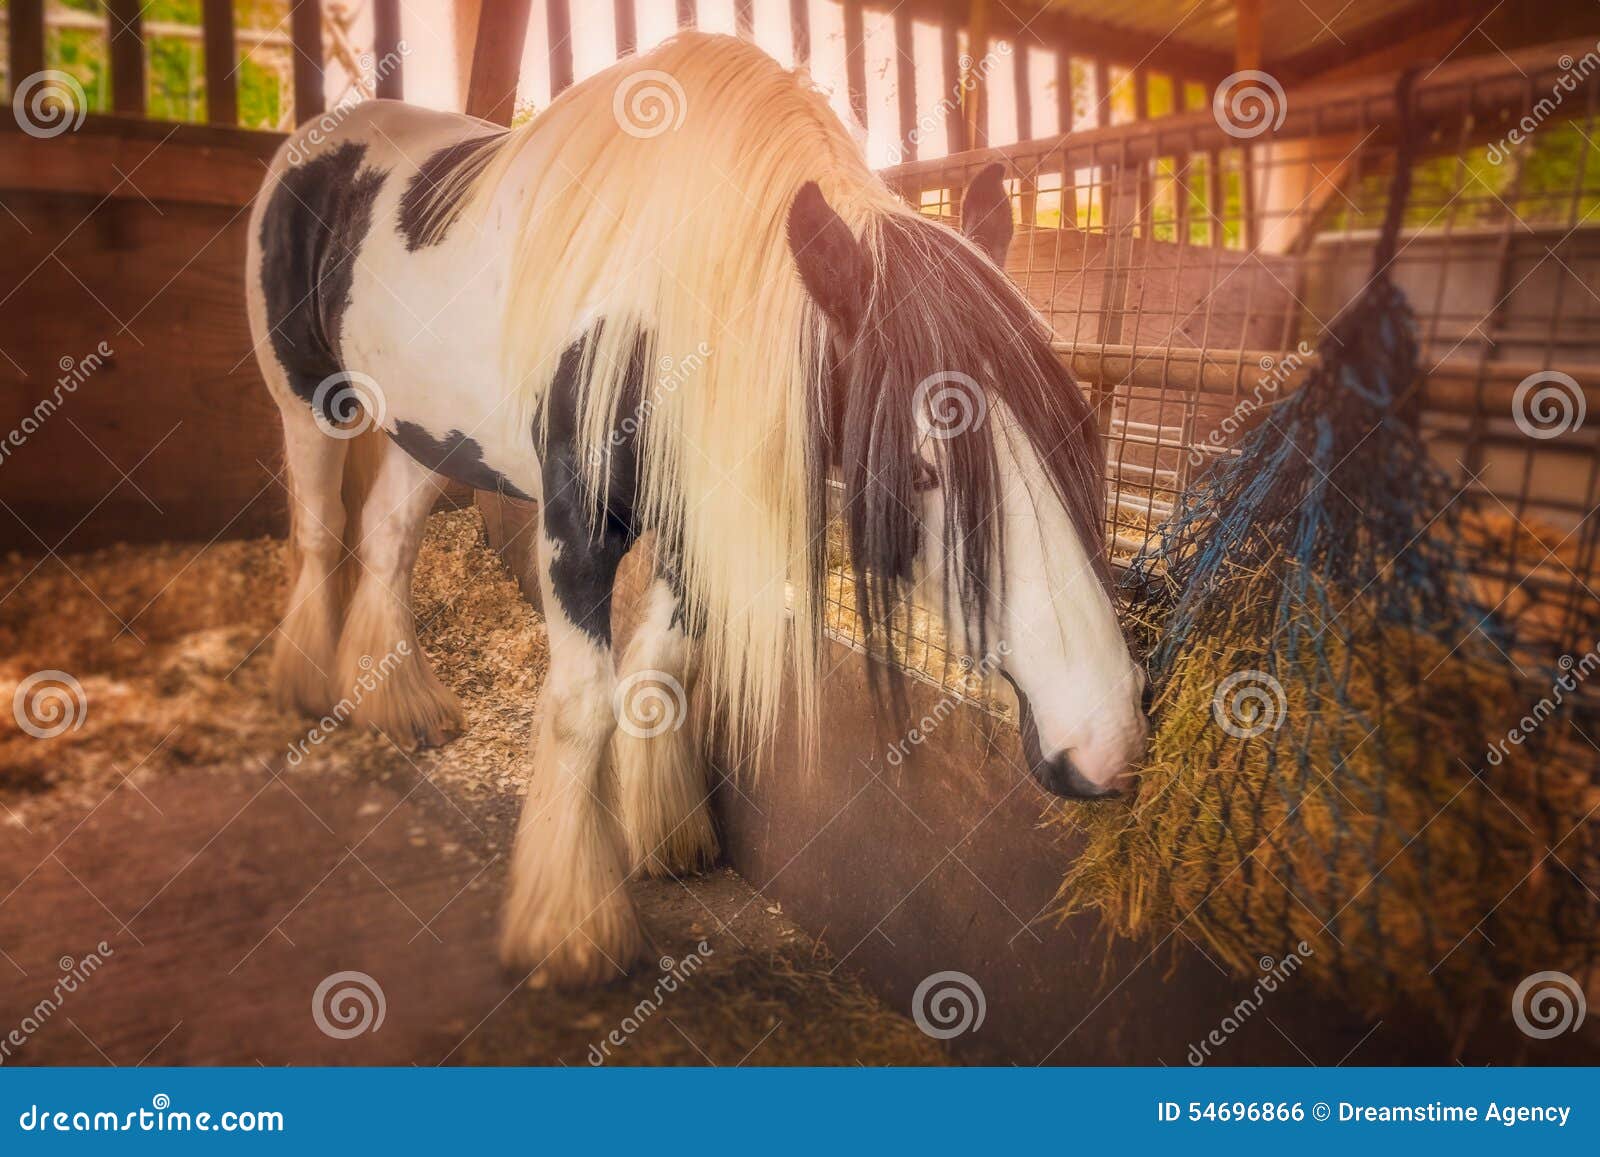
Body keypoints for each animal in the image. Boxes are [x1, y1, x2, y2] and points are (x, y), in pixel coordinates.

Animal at [245, 32, 1149, 987]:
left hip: (432, 437)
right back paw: (308, 684)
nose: (1108, 736)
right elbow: (581, 704)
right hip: (310, 404)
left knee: (387, 538)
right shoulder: (576, 533)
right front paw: (572, 925)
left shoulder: (694, 514)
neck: (668, 311)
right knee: (321, 533)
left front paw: (665, 834)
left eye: (1077, 434)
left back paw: (399, 703)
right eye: (922, 469)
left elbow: (660, 667)